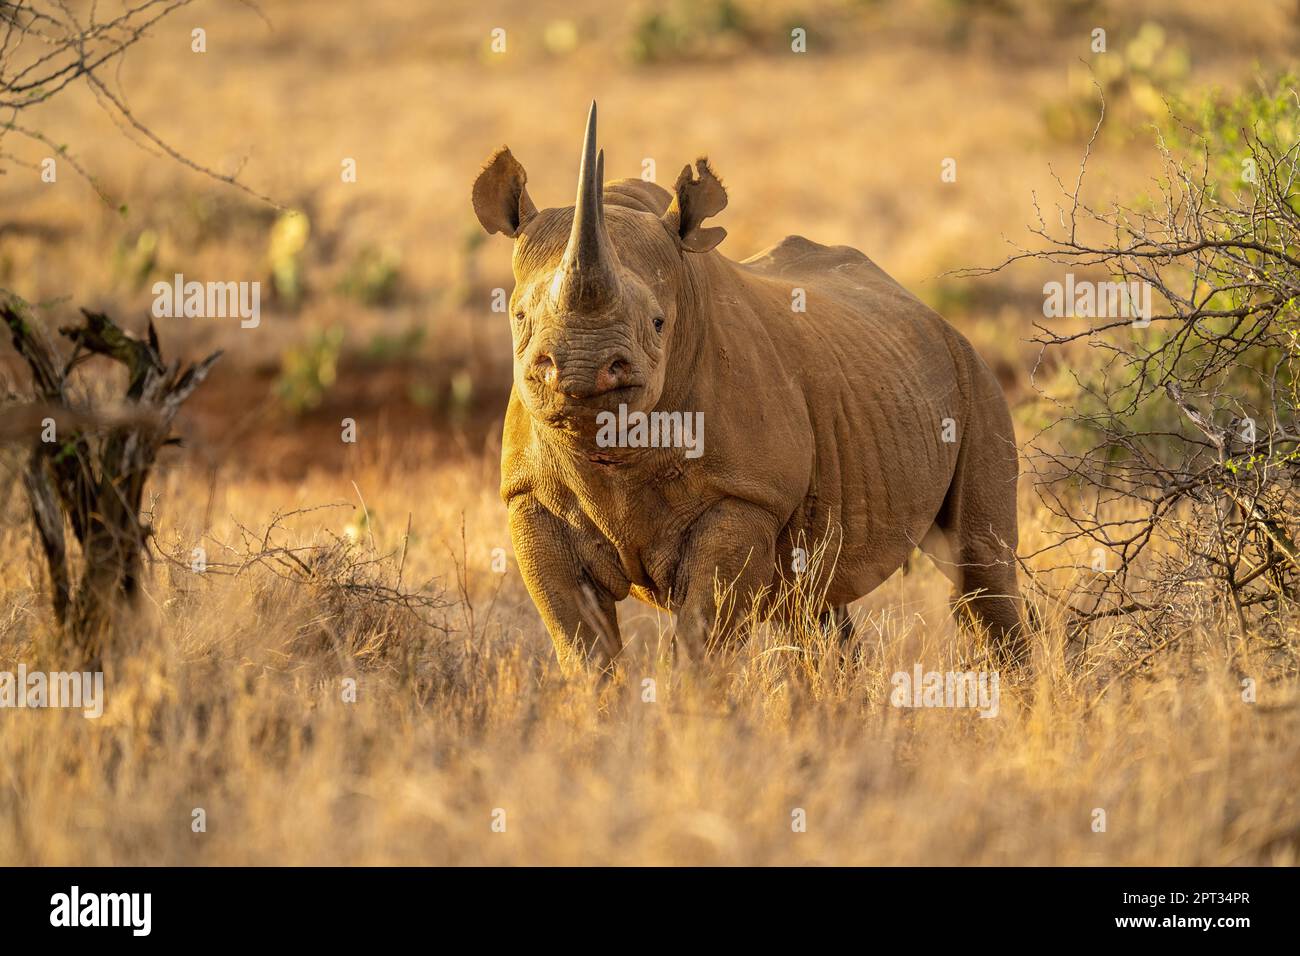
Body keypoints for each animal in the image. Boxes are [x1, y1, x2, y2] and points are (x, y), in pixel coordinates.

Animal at [471, 103, 1023, 669]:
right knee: (813, 601)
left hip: (973, 376)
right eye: (519, 316)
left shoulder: (745, 496)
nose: (581, 368)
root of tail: (931, 313)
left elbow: (702, 637)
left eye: (658, 324)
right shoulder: (529, 497)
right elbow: (581, 642)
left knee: (980, 568)